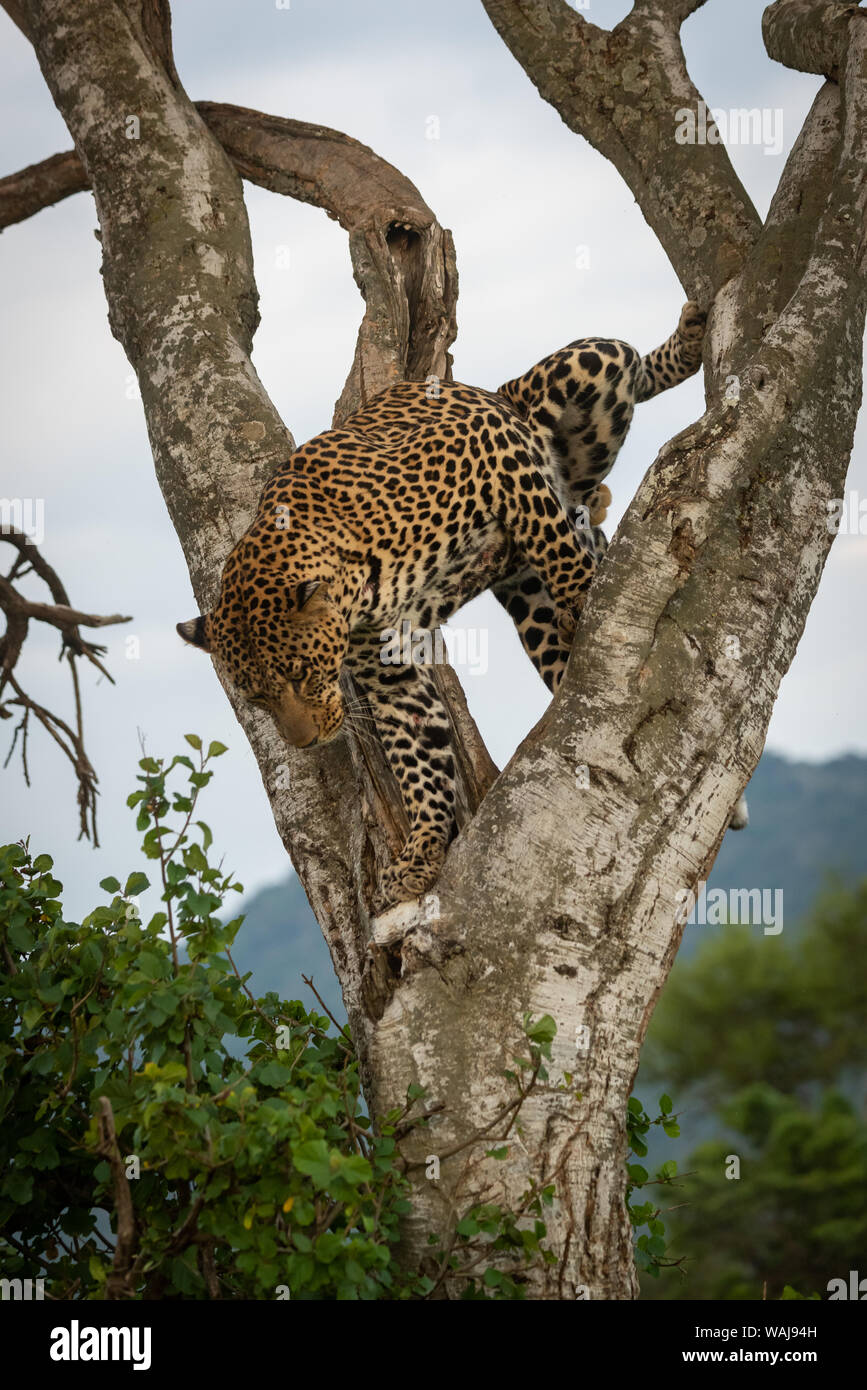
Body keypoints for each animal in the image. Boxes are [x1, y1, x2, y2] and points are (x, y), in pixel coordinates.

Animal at [178, 302, 708, 911]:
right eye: (256, 699)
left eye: (303, 674)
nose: (307, 741)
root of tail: (491, 388)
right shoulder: (388, 668)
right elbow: (418, 753)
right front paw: (422, 852)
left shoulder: (488, 446)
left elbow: (548, 536)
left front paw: (581, 593)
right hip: (530, 605)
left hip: (575, 374)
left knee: (623, 378)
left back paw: (685, 344)